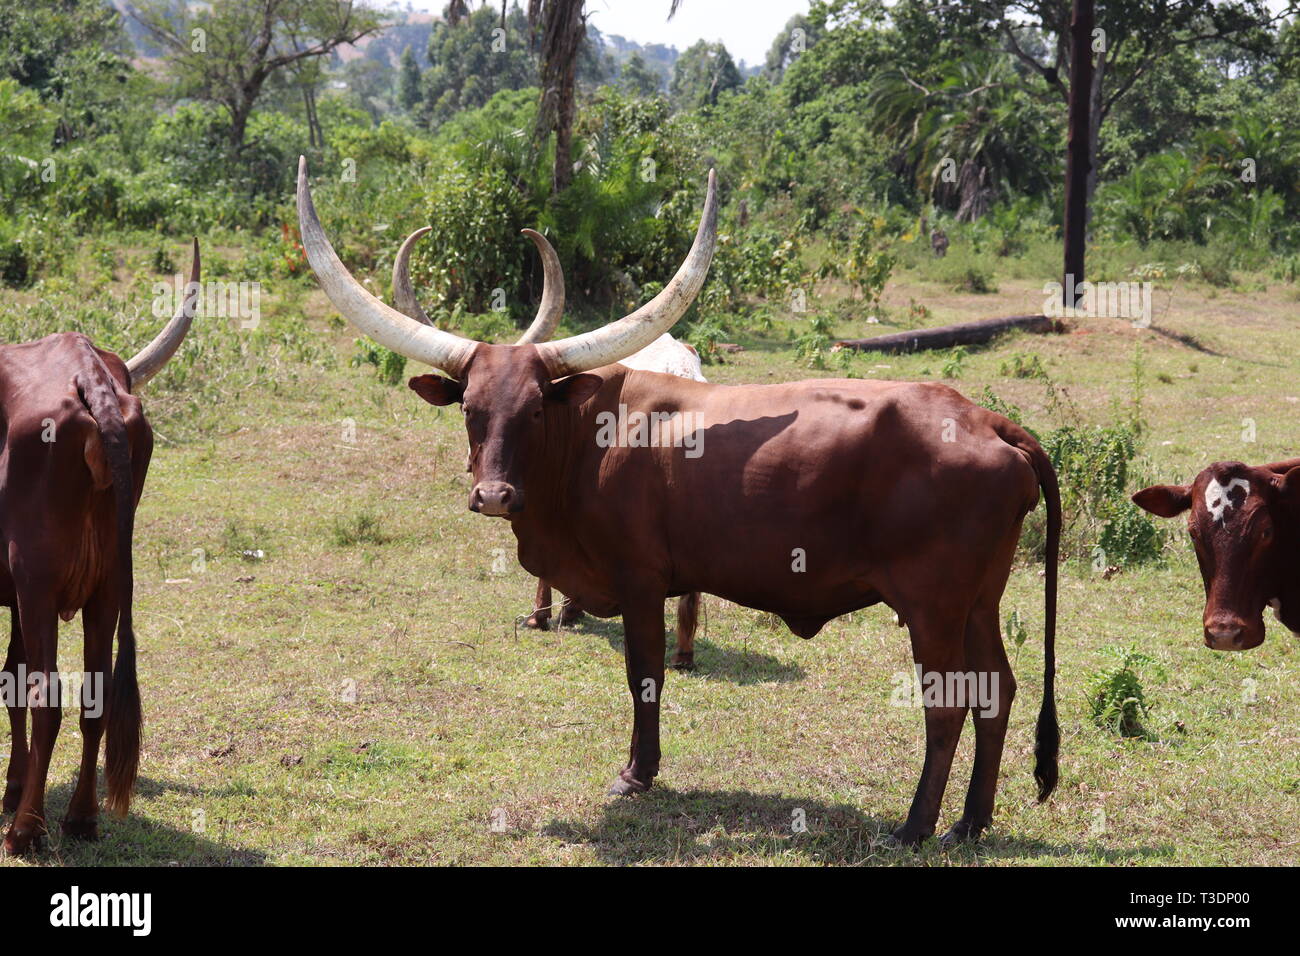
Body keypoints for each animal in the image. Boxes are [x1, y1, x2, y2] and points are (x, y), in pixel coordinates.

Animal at [0, 241, 199, 854]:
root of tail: (90, 376)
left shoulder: (23, 593)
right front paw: (13, 785)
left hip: (42, 588)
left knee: (49, 698)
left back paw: (26, 831)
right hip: (107, 587)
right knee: (98, 697)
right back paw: (81, 818)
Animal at [392, 227, 703, 667]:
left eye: (534, 411)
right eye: (466, 406)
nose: (489, 493)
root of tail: (680, 366)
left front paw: (543, 615)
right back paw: (683, 651)